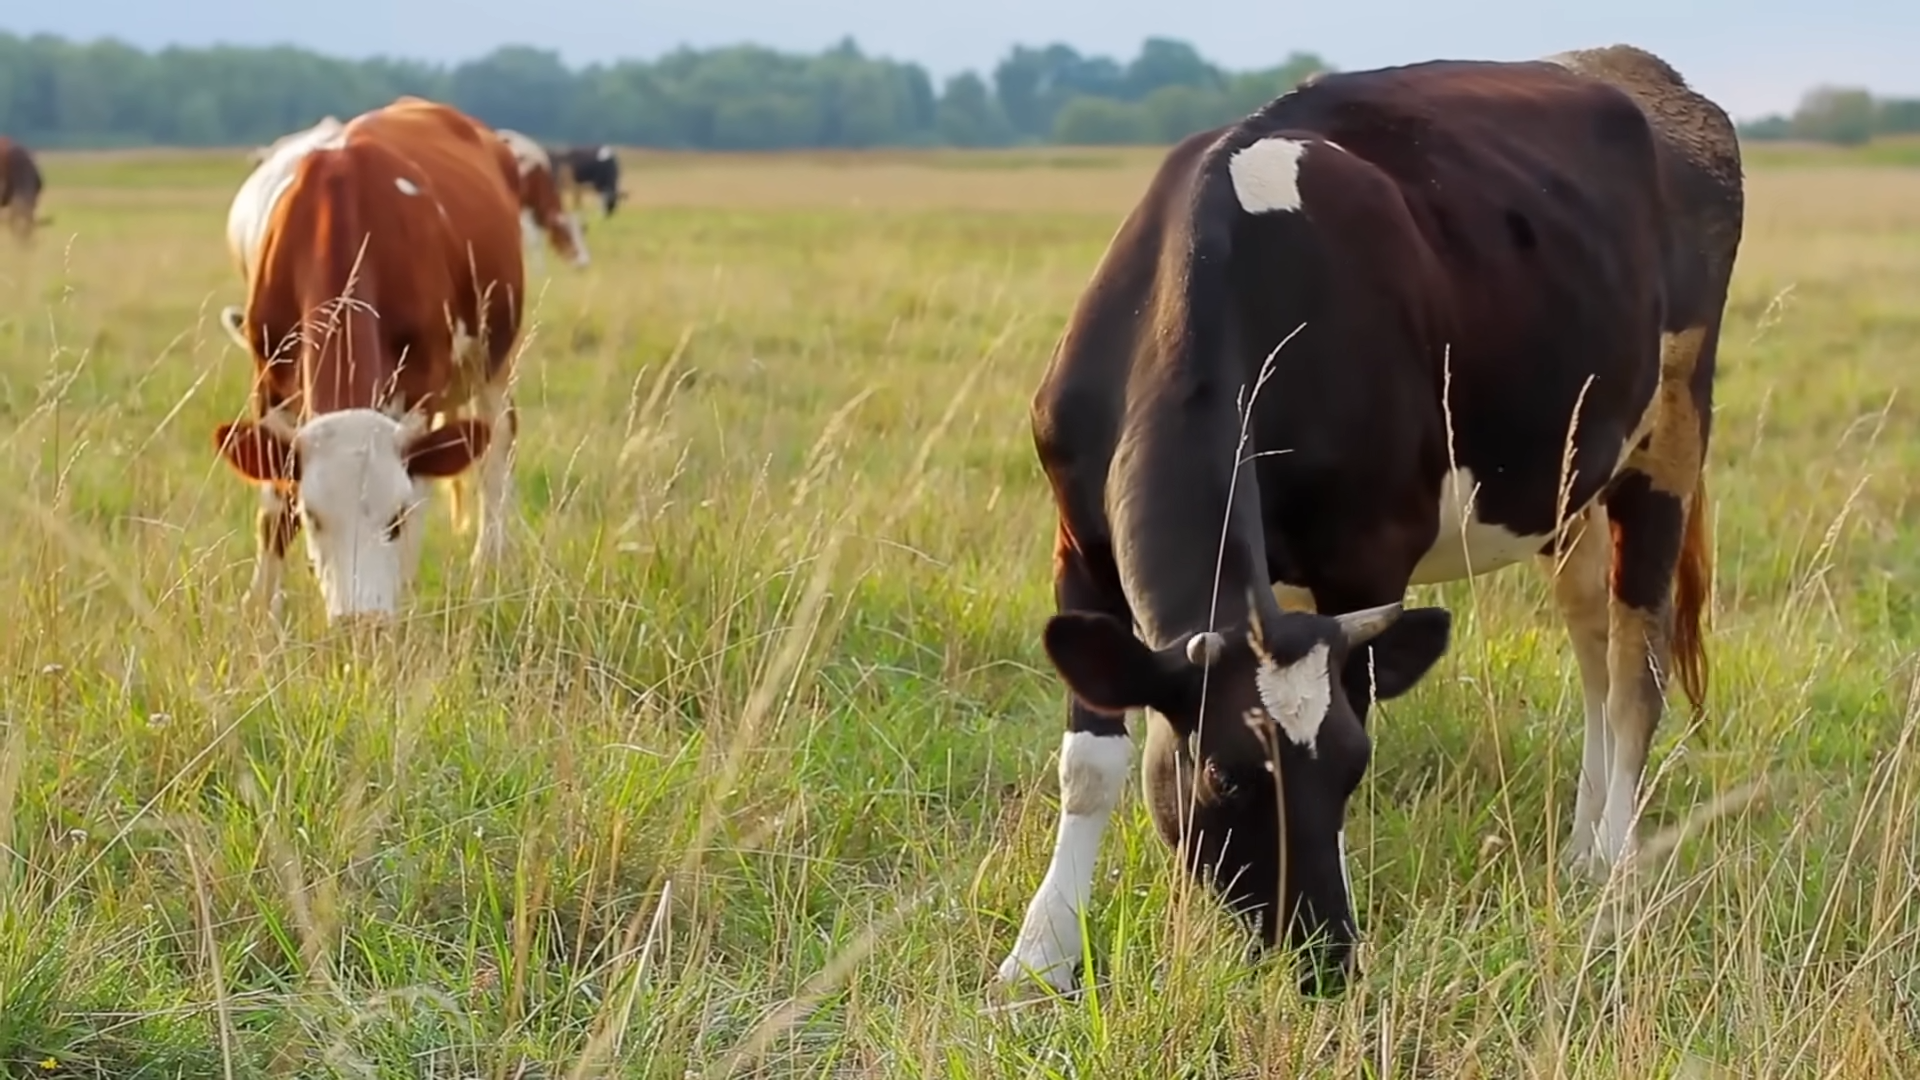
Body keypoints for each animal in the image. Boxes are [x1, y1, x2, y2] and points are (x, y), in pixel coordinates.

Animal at [213, 96, 530, 626]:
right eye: (312, 516)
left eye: (394, 518)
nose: (360, 622)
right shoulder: (269, 381)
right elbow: (273, 509)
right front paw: (263, 613)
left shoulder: (421, 387)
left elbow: (421, 499)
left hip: (491, 360)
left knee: (496, 448)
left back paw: (491, 567)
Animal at [992, 43, 1742, 999]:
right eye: (1225, 778)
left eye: (1353, 769)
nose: (1326, 956)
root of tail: (1632, 65)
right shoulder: (1079, 542)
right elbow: (1089, 767)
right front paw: (1039, 959)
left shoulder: (1370, 554)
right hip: (1570, 480)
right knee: (1595, 653)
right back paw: (1578, 852)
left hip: (1671, 434)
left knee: (1636, 667)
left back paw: (1611, 872)